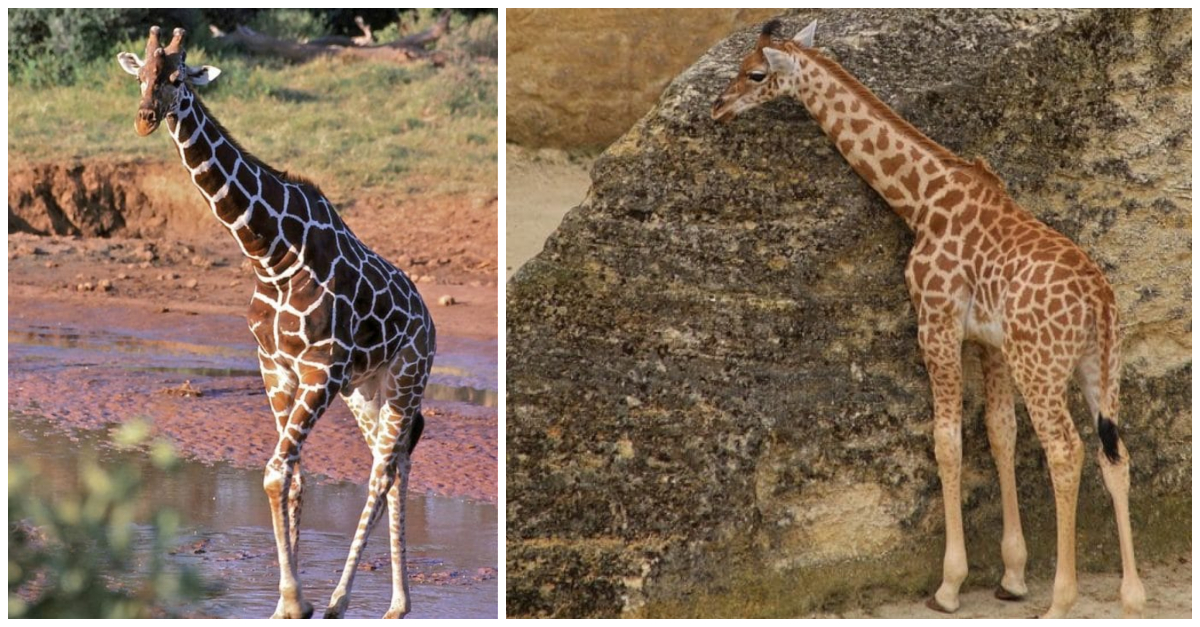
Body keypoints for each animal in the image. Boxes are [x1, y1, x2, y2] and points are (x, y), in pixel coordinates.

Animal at [117, 27, 435, 619]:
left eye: (178, 78)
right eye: (141, 75)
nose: (146, 117)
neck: (270, 254)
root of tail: (428, 319)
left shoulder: (321, 370)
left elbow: (273, 472)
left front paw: (294, 600)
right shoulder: (276, 368)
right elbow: (292, 479)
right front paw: (289, 603)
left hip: (407, 377)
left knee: (382, 469)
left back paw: (342, 599)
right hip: (368, 390)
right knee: (397, 461)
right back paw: (396, 602)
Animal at [713, 19, 1145, 619]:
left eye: (755, 73)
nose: (718, 107)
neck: (919, 200)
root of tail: (1100, 299)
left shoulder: (935, 321)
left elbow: (946, 439)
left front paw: (949, 585)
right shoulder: (989, 341)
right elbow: (999, 432)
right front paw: (1012, 576)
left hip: (1041, 365)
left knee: (1066, 450)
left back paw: (1061, 601)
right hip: (1100, 367)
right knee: (1114, 452)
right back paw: (1133, 594)